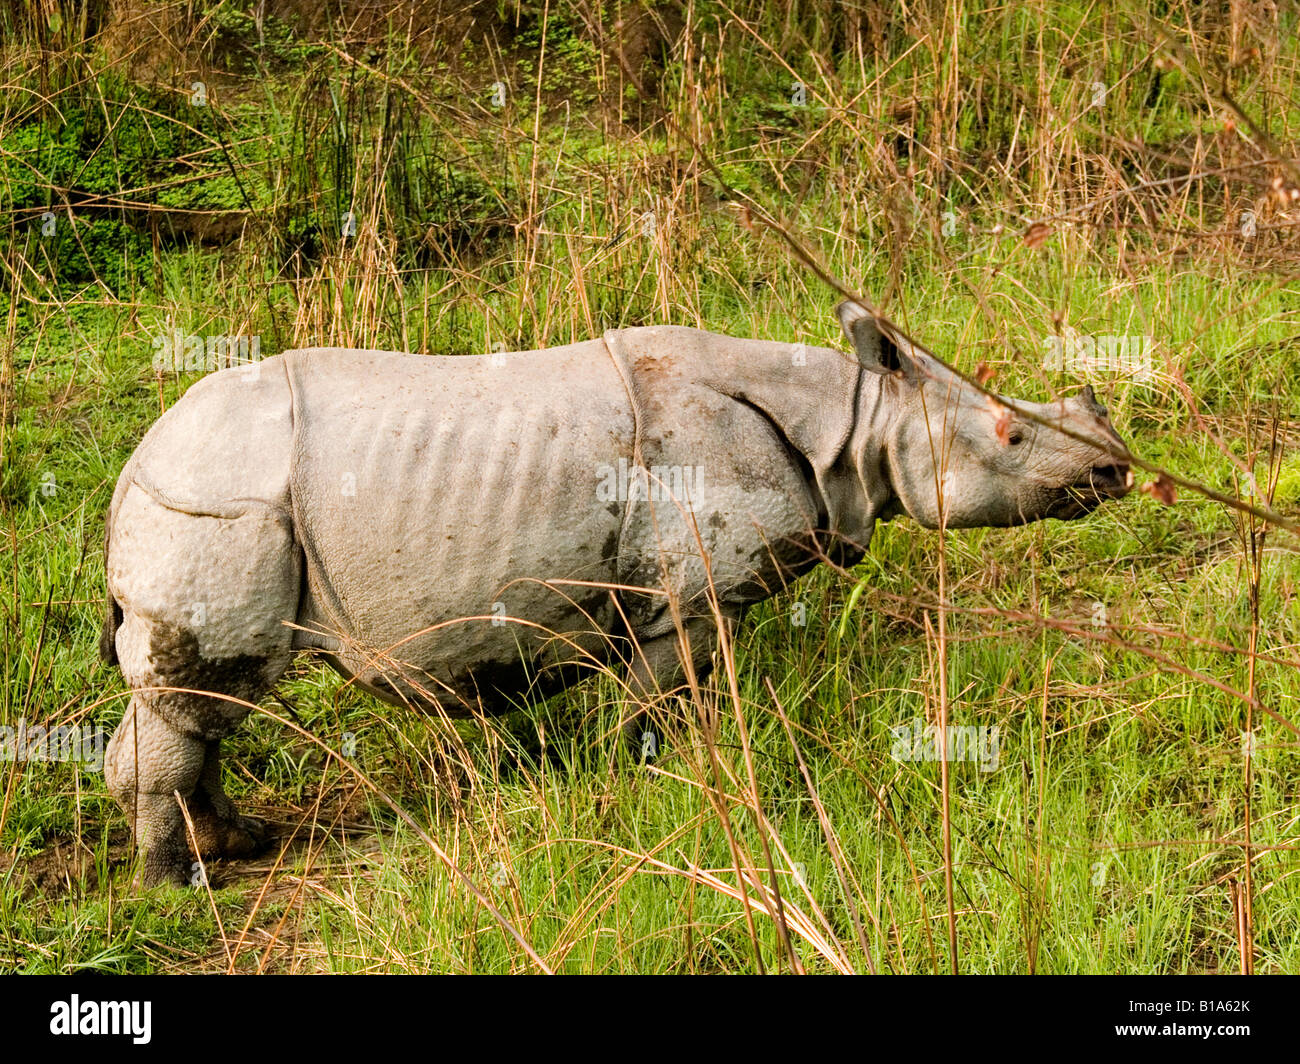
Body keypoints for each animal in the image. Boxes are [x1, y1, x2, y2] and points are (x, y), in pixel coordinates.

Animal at [100, 301, 1131, 886]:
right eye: (1010, 438)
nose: (1117, 469)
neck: (855, 418)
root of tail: (133, 464)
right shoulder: (689, 599)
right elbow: (660, 705)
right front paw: (665, 786)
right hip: (219, 505)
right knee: (203, 693)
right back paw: (176, 884)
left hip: (207, 495)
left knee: (195, 707)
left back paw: (237, 845)